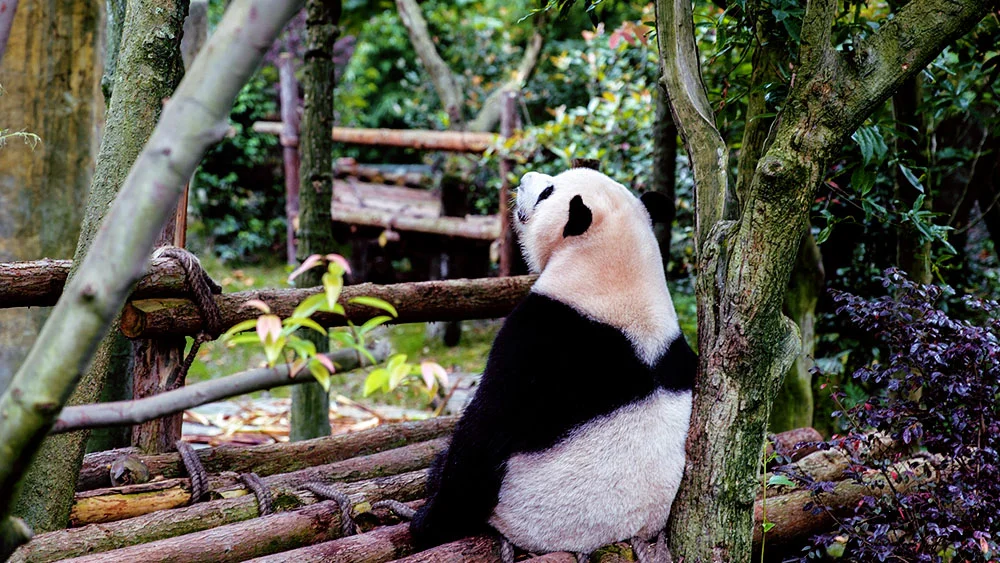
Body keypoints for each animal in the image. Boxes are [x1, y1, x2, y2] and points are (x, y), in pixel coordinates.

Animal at [410, 168, 696, 561]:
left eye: (547, 191)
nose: (525, 178)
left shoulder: (538, 342)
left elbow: (483, 431)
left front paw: (425, 525)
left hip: (517, 507)